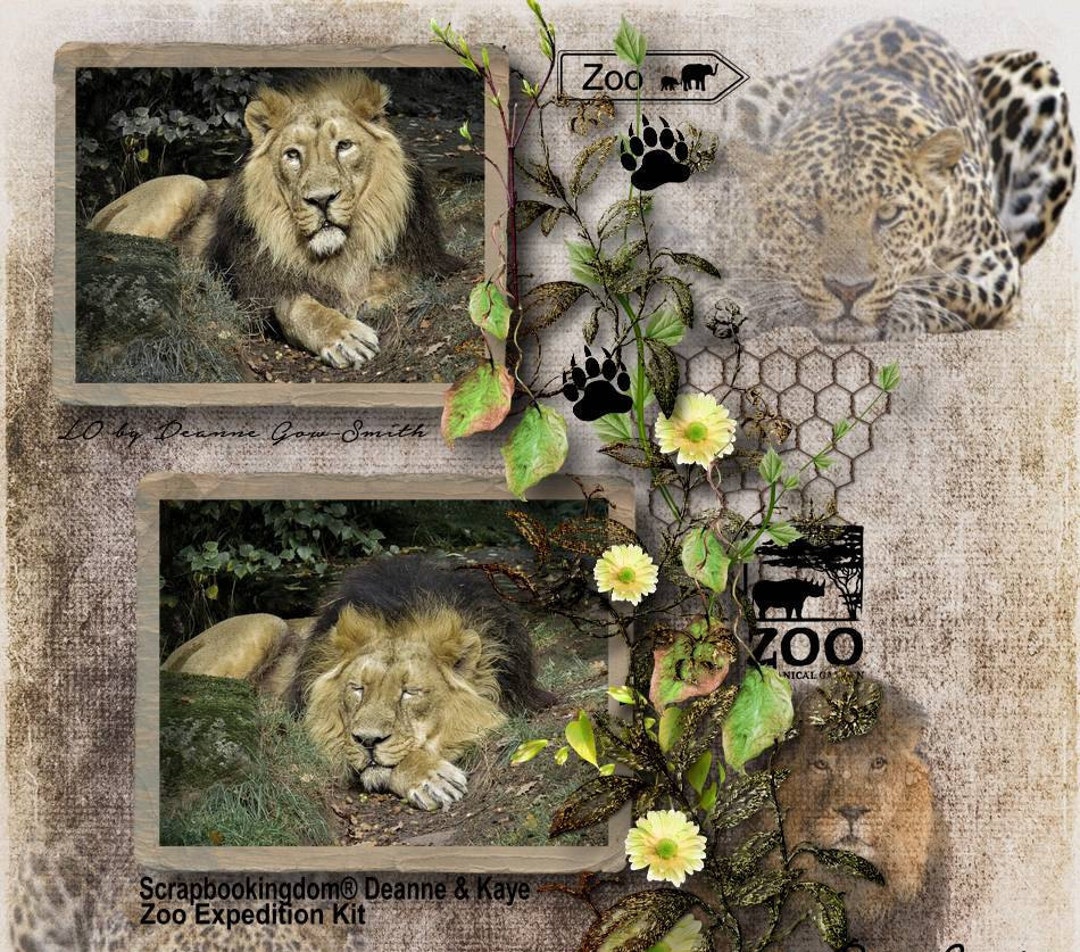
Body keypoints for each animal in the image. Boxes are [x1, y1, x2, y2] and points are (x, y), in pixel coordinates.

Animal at [89, 70, 464, 369]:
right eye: (292, 155)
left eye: (344, 146)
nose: (321, 200)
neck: (338, 252)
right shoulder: (259, 289)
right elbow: (298, 308)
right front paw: (344, 337)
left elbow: (392, 290)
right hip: (185, 185)